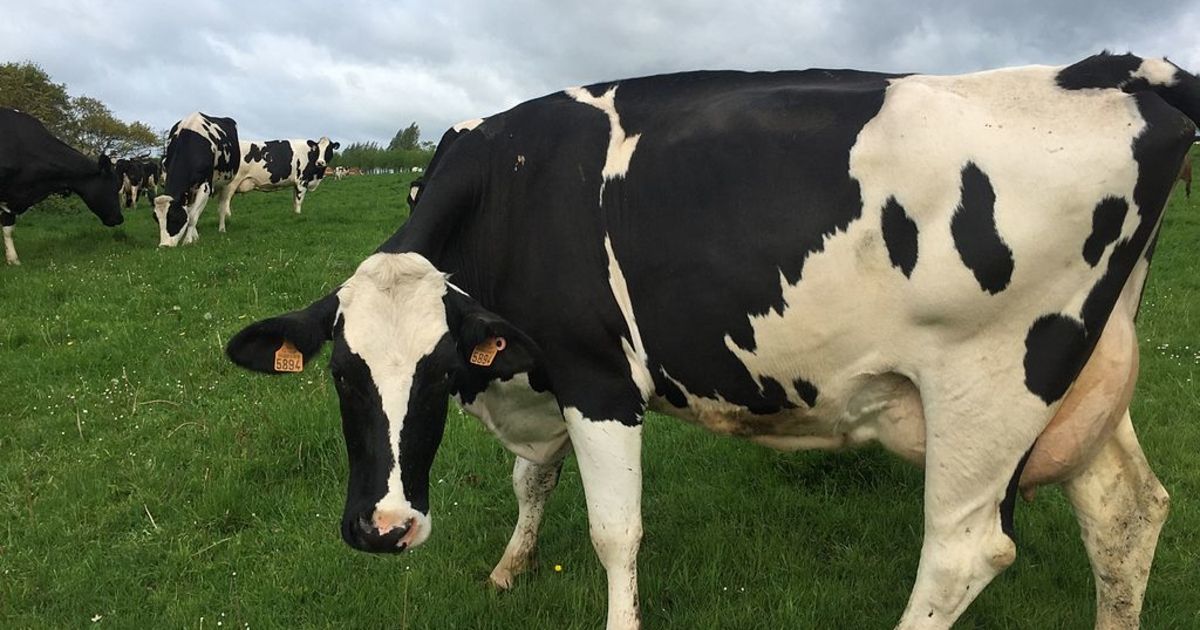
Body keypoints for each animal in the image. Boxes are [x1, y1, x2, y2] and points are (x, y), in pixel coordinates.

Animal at [153, 112, 239, 247]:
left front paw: (188, 240)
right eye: (156, 219)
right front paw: (195, 237)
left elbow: (192, 216)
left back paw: (222, 229)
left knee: (222, 207)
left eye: (174, 218)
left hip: (226, 183)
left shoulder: (205, 186)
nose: (164, 245)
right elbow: (190, 213)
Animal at [225, 53, 1198, 629]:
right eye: (343, 376)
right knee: (1125, 516)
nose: (384, 528)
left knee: (963, 553)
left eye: (434, 375)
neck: (515, 183)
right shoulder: (537, 369)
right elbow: (531, 479)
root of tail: (1104, 71)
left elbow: (616, 531)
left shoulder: (596, 376)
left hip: (989, 382)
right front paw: (511, 565)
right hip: (1084, 380)